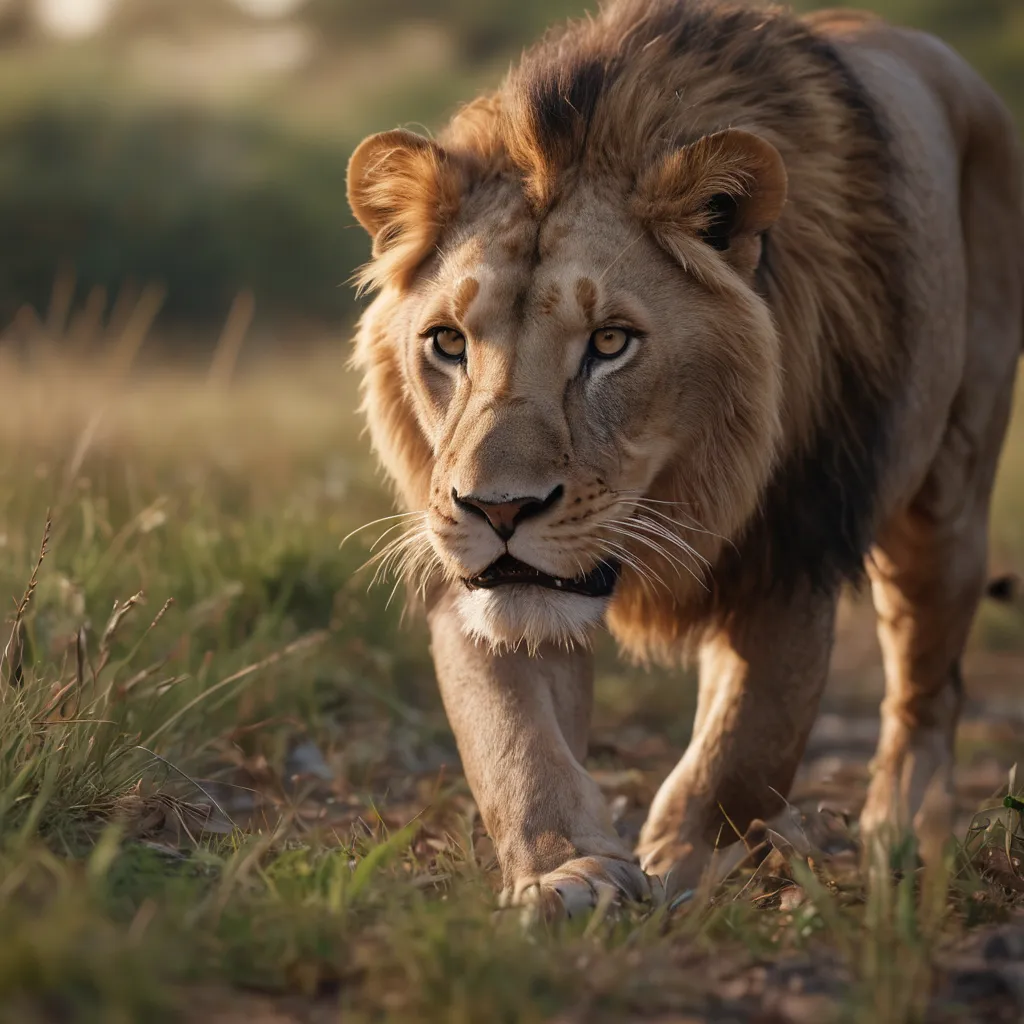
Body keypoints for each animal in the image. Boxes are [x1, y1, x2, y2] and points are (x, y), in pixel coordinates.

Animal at [346, 0, 1024, 914]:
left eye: (610, 343)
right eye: (448, 343)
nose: (498, 509)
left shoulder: (793, 550)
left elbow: (748, 747)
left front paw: (680, 865)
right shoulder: (479, 578)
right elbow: (513, 740)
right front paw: (568, 871)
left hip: (946, 500)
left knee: (928, 686)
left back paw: (896, 837)